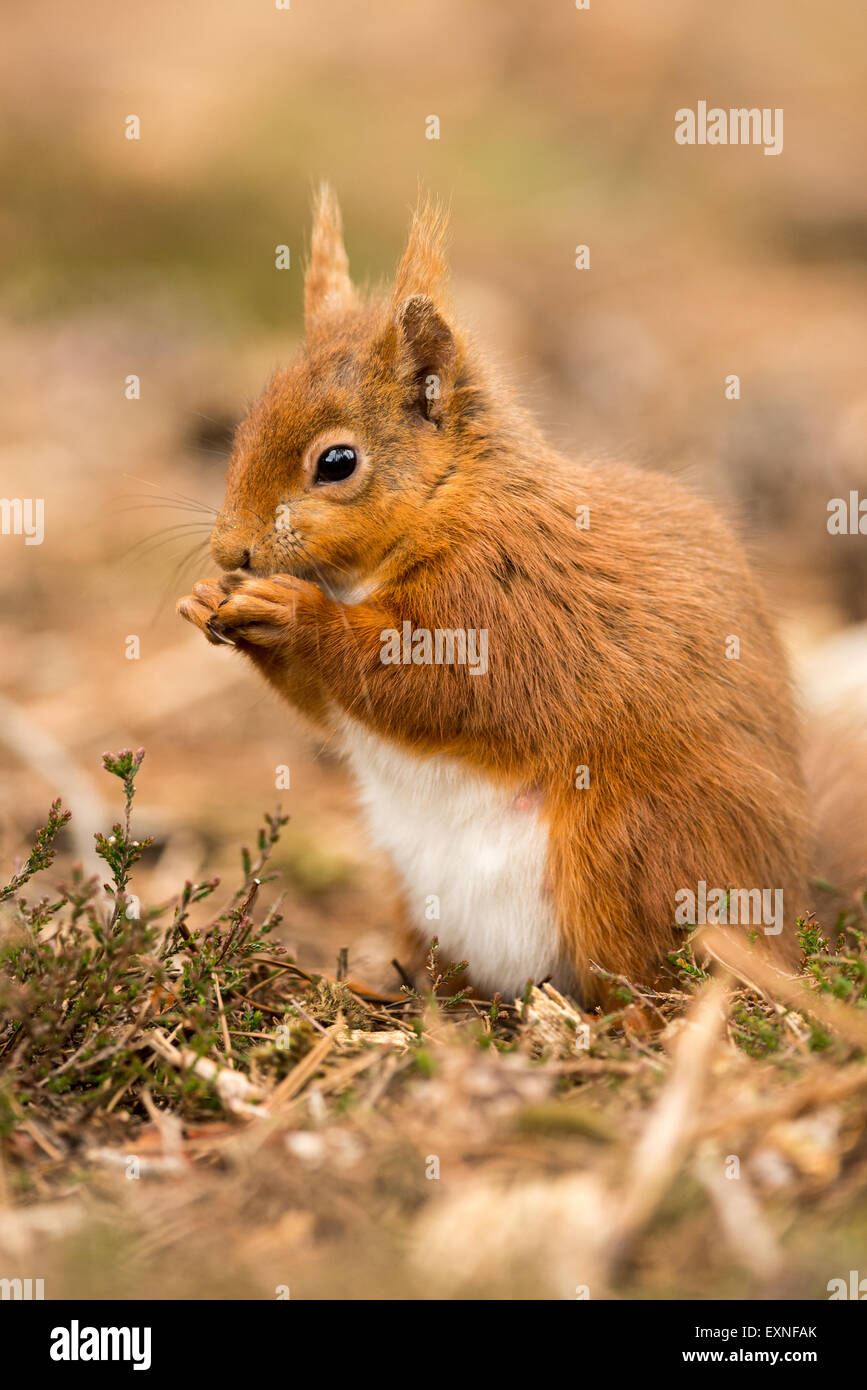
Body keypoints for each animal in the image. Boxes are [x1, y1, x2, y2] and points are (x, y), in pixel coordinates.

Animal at [178, 184, 811, 1007]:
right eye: (244, 425)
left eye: (337, 462)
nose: (232, 551)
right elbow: (329, 709)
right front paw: (206, 599)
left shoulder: (508, 601)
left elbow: (438, 688)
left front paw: (294, 615)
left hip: (625, 849)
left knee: (645, 974)